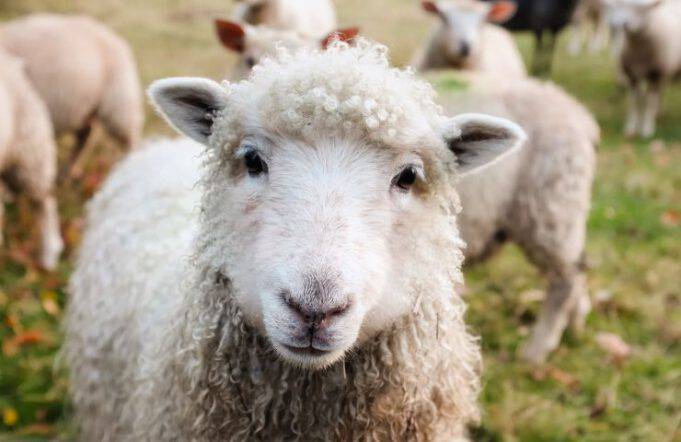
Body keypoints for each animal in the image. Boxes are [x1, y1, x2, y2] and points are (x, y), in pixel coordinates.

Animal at [0, 14, 144, 174]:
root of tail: (113, 36)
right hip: (86, 107)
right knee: (85, 136)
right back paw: (69, 171)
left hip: (119, 102)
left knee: (130, 139)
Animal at [430, 71, 598, 363]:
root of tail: (581, 115)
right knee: (578, 268)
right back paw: (576, 324)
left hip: (550, 206)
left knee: (568, 277)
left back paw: (537, 350)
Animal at [601, 0, 681, 138]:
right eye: (622, 6)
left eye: (641, 10)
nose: (622, 24)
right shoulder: (632, 75)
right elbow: (634, 102)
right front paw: (631, 128)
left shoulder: (656, 74)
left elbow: (650, 102)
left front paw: (647, 129)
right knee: (661, 91)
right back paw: (659, 113)